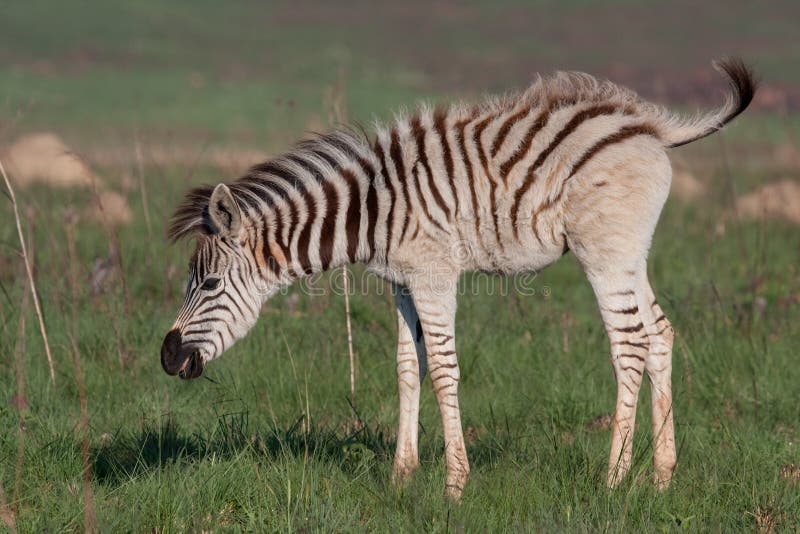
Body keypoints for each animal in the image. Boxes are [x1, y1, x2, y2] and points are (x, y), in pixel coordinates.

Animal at [161, 58, 756, 499]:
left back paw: (612, 480)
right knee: (660, 333)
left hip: (604, 251)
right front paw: (401, 478)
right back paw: (661, 477)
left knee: (630, 342)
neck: (372, 212)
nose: (167, 358)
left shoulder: (434, 273)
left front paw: (454, 483)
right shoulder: (401, 282)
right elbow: (407, 368)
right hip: (632, 252)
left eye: (207, 286)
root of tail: (646, 123)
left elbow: (444, 370)